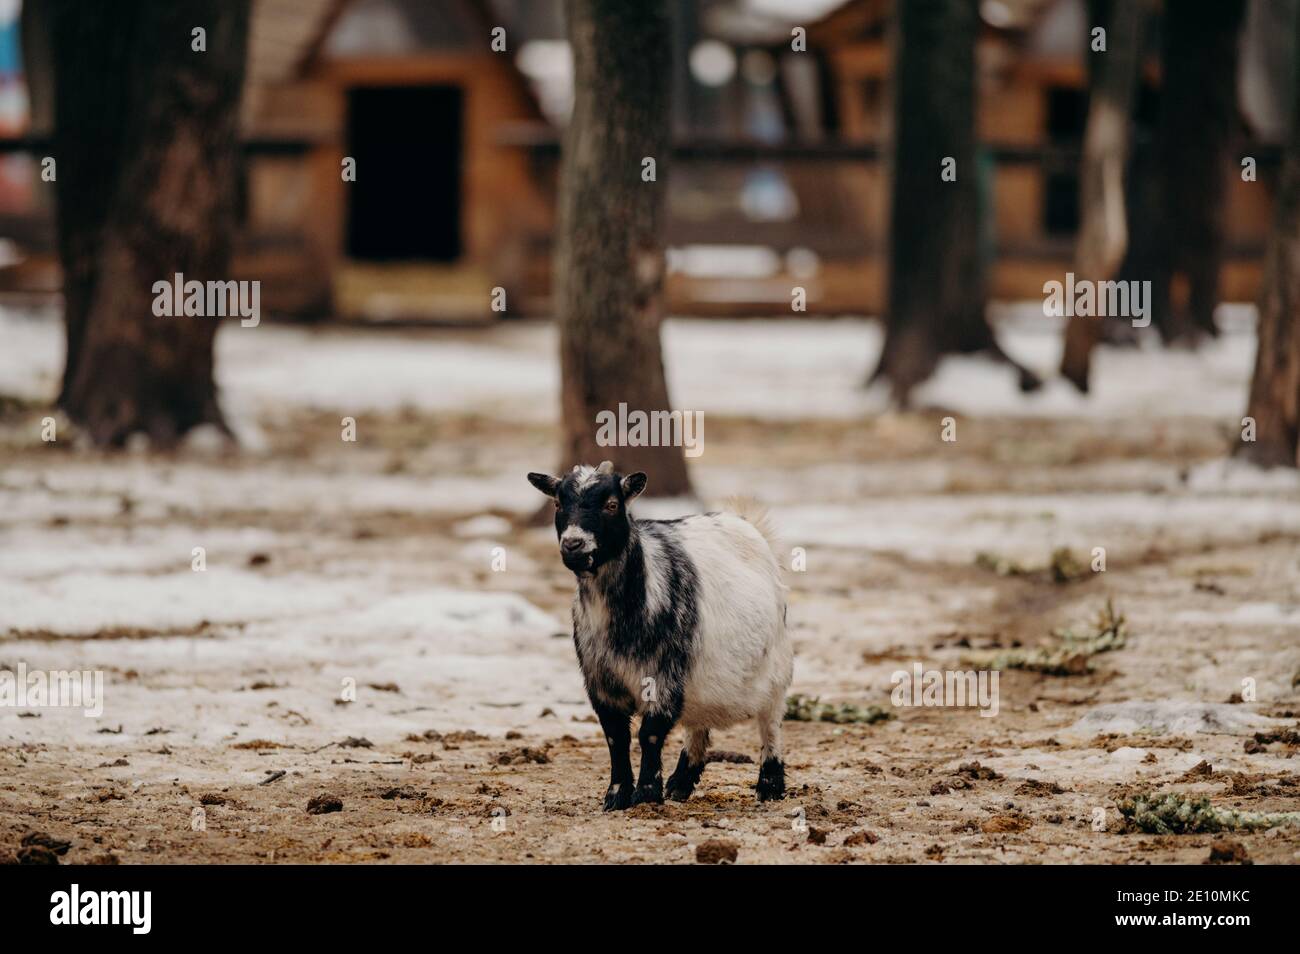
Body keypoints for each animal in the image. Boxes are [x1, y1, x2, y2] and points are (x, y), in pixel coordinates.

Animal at [527, 461, 792, 810]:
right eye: (558, 503)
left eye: (612, 505)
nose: (573, 545)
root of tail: (744, 521)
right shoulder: (602, 682)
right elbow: (616, 736)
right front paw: (617, 796)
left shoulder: (663, 677)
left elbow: (649, 734)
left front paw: (646, 794)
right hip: (702, 677)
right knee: (697, 725)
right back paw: (680, 782)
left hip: (775, 667)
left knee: (770, 723)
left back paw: (770, 785)